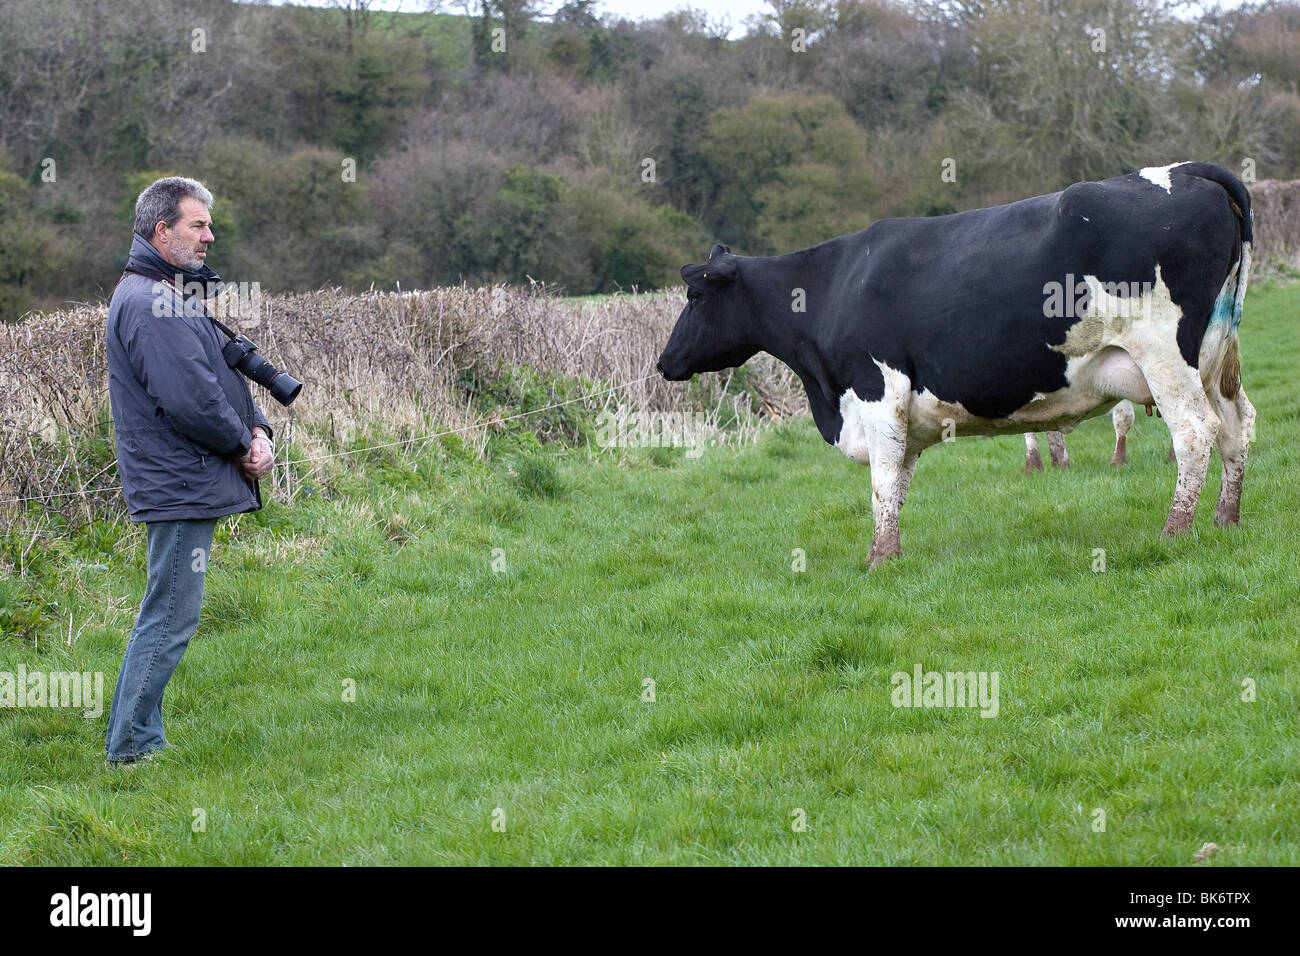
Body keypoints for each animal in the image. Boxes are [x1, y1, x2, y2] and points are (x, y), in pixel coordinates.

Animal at [657, 162, 1254, 564]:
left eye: (694, 296)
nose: (664, 361)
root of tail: (1185, 170)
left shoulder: (878, 392)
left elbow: (881, 480)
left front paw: (877, 559)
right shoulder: (903, 414)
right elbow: (897, 483)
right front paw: (890, 552)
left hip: (1164, 356)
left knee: (1195, 431)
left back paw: (1175, 530)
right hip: (1217, 358)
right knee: (1237, 426)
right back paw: (1226, 519)